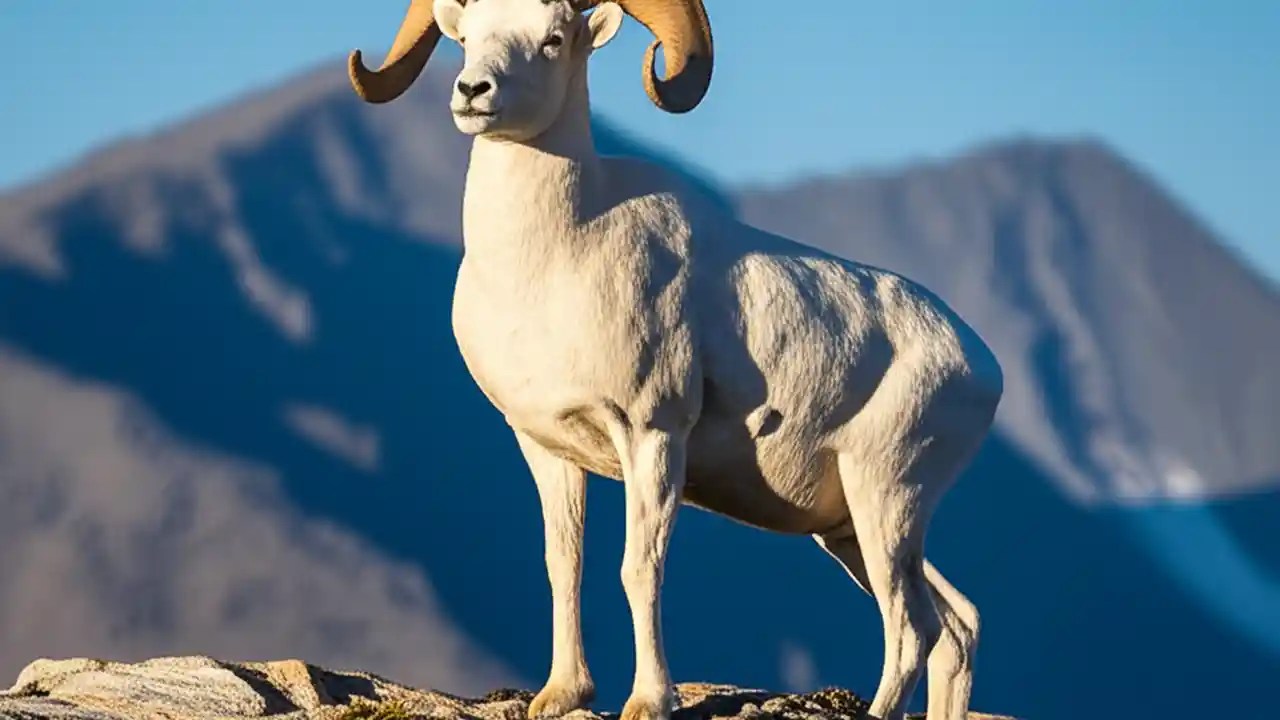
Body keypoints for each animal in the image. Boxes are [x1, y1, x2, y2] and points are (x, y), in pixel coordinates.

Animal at [348, 2, 1004, 719]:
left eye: (553, 39)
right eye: (467, 39)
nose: (473, 92)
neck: (552, 261)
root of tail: (980, 366)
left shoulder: (652, 437)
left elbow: (639, 568)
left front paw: (649, 699)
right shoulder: (547, 450)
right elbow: (564, 564)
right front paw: (562, 693)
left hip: (885, 499)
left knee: (912, 628)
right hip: (850, 529)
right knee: (956, 626)